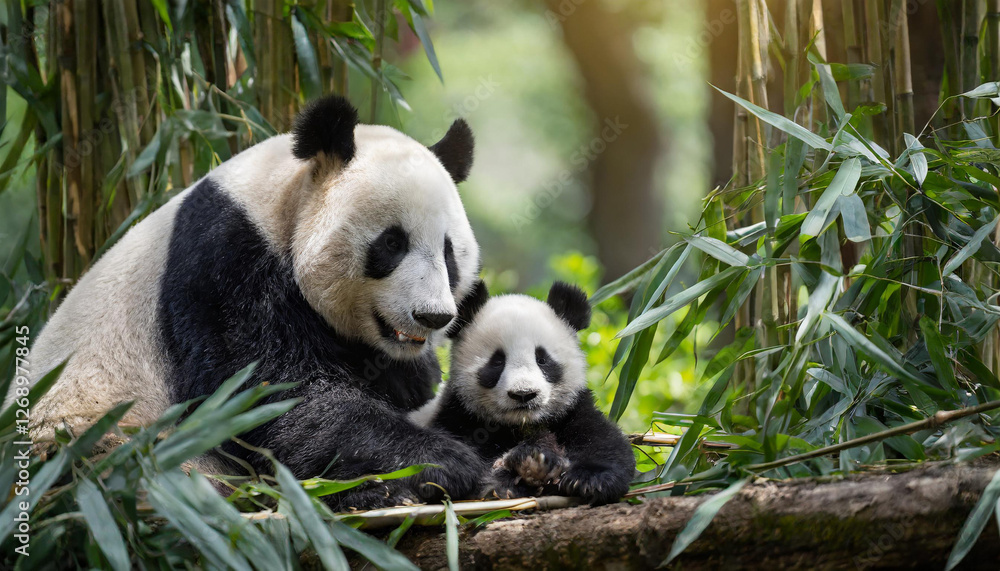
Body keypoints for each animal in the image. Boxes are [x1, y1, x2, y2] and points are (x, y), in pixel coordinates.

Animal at [16, 95, 490, 509]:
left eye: (449, 252)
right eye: (392, 243)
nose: (432, 316)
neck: (279, 199)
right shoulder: (224, 261)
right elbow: (273, 393)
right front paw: (446, 463)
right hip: (100, 441)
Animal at [410, 280, 636, 505]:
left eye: (542, 359)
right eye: (497, 361)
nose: (524, 394)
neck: (523, 424)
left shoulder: (572, 409)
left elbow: (604, 441)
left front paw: (588, 480)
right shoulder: (458, 415)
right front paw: (518, 472)